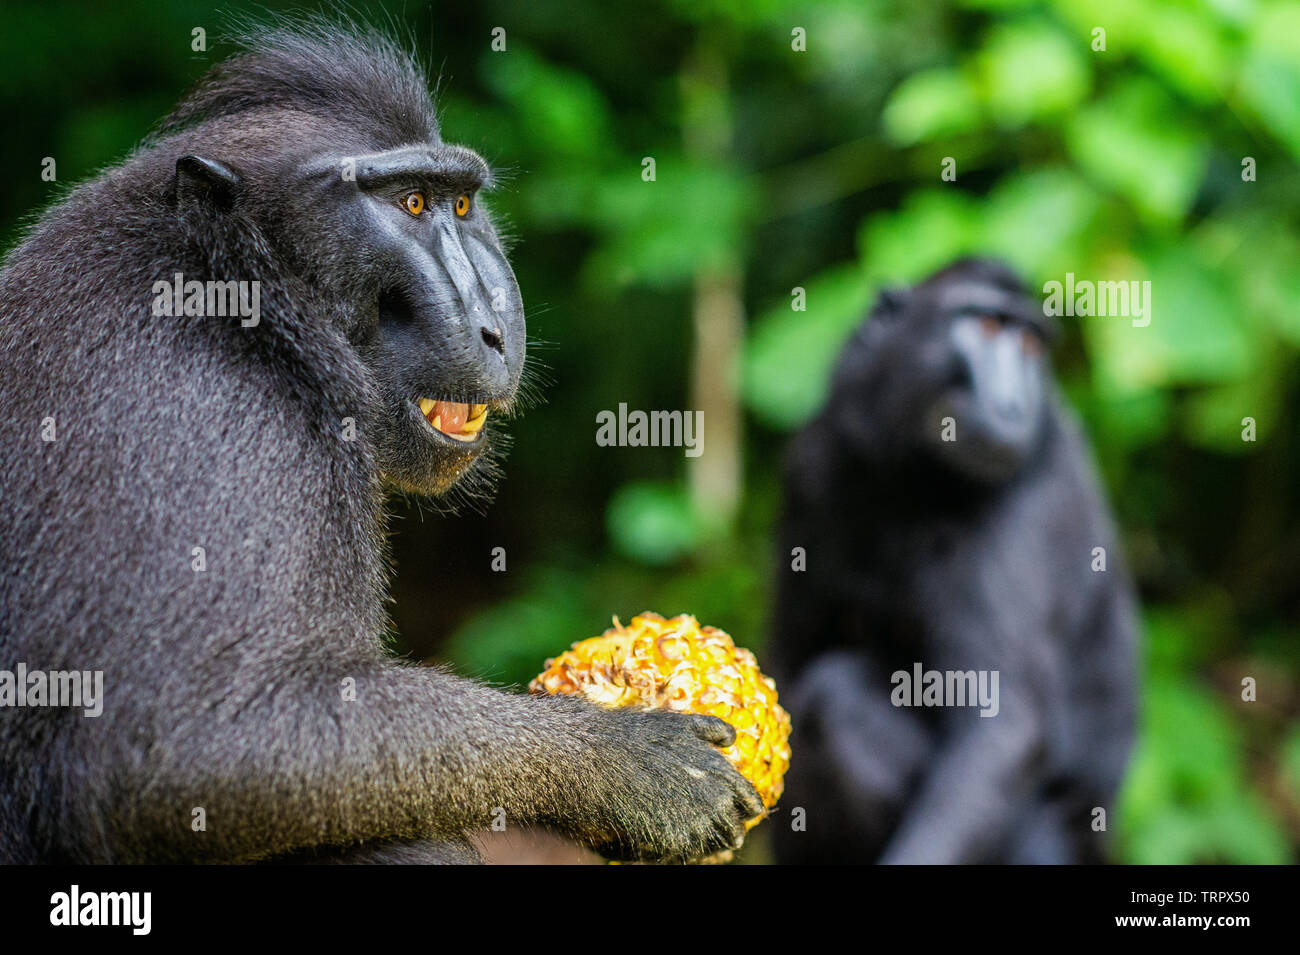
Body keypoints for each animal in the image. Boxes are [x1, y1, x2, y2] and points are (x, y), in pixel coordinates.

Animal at [0, 19, 763, 864]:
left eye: (461, 203)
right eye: (410, 202)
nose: (496, 323)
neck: (241, 294)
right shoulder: (210, 413)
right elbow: (184, 741)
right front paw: (621, 758)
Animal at [769, 258, 1138, 864]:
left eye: (1031, 345)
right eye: (985, 327)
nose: (1015, 405)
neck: (907, 477)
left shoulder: (1022, 499)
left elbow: (1004, 727)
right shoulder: (811, 466)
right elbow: (786, 665)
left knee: (833, 701)